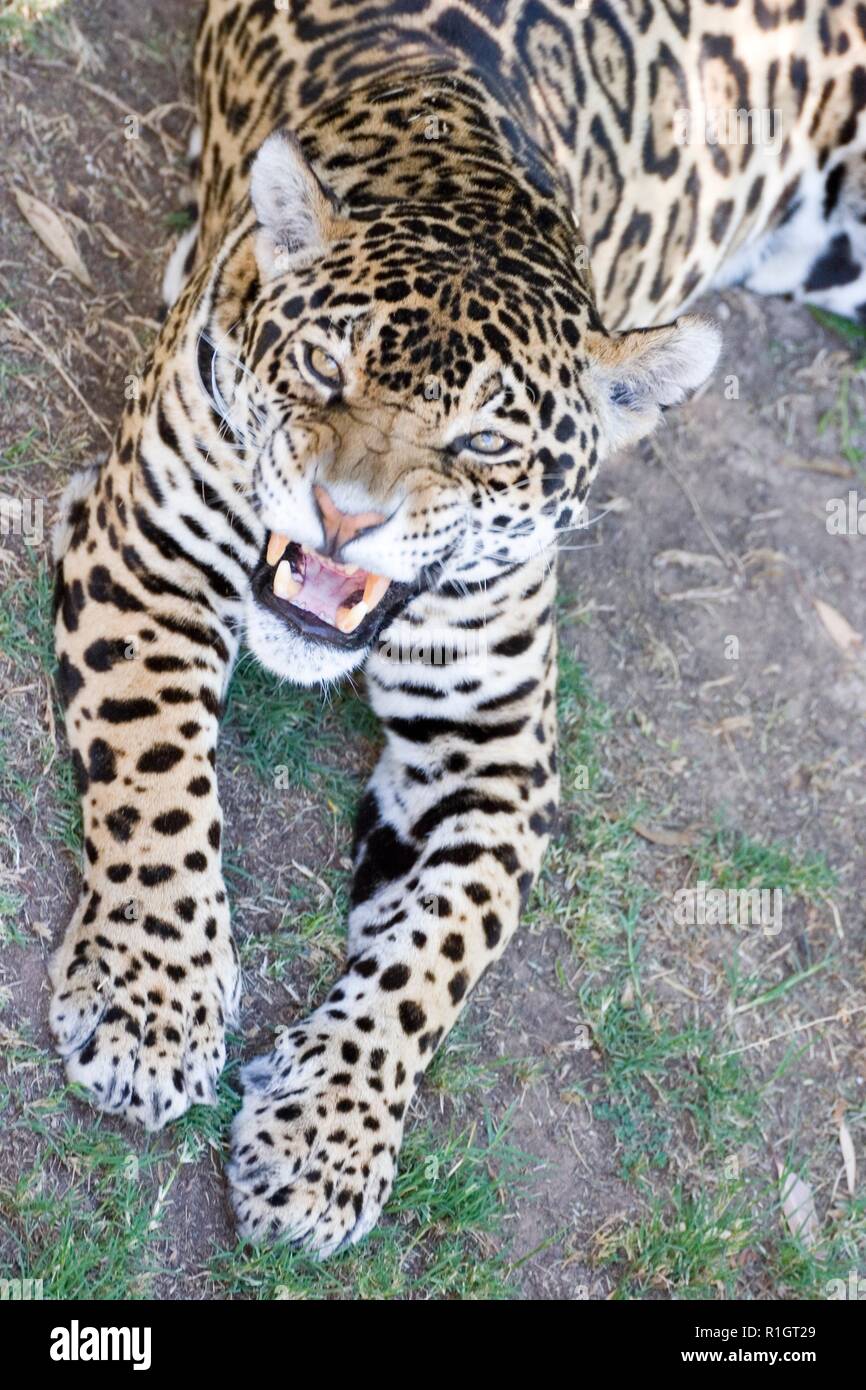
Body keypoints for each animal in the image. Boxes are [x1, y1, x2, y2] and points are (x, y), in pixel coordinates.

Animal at [50, 0, 866, 1259]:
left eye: (483, 443)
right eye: (321, 366)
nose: (343, 513)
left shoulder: (495, 747)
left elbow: (440, 945)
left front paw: (321, 1142)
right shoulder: (149, 555)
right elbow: (156, 785)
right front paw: (153, 1001)